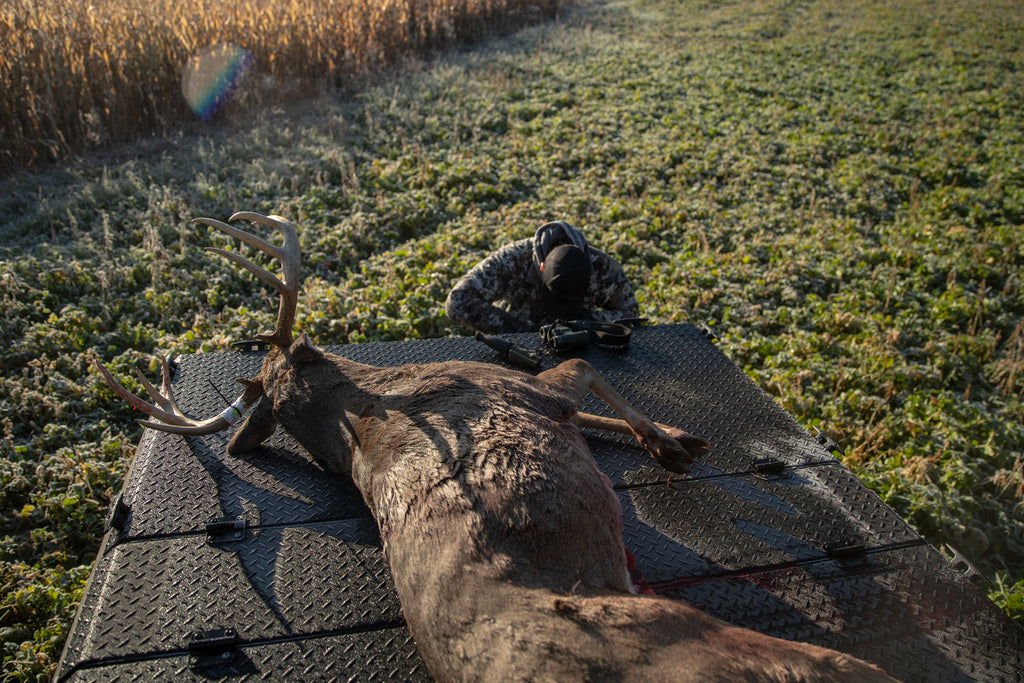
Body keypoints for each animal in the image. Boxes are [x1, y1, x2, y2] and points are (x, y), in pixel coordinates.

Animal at [96, 212, 899, 682]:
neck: (363, 402)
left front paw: (676, 435)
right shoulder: (527, 389)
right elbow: (585, 378)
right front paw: (668, 444)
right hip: (771, 655)